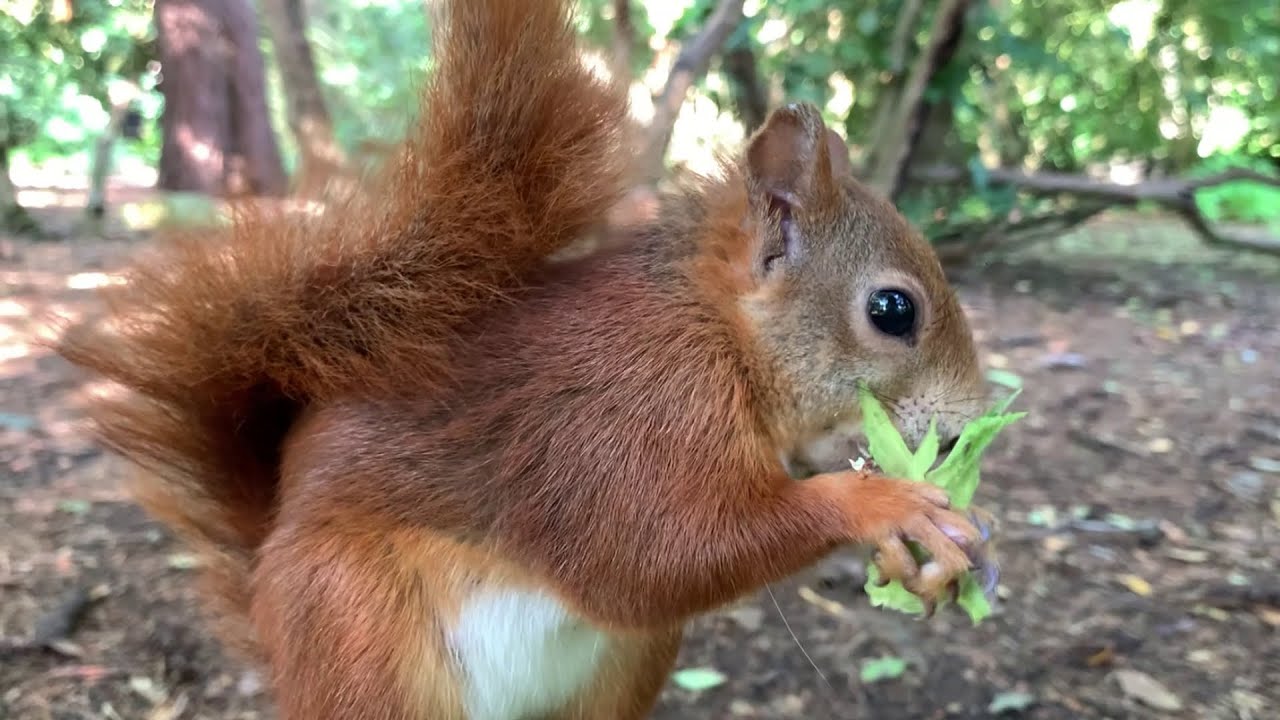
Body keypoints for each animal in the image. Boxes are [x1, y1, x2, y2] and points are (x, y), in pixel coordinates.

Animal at [55, 0, 997, 718]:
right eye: (892, 311)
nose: (962, 433)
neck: (716, 334)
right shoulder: (618, 414)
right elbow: (655, 554)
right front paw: (885, 507)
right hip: (358, 634)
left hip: (615, 673)